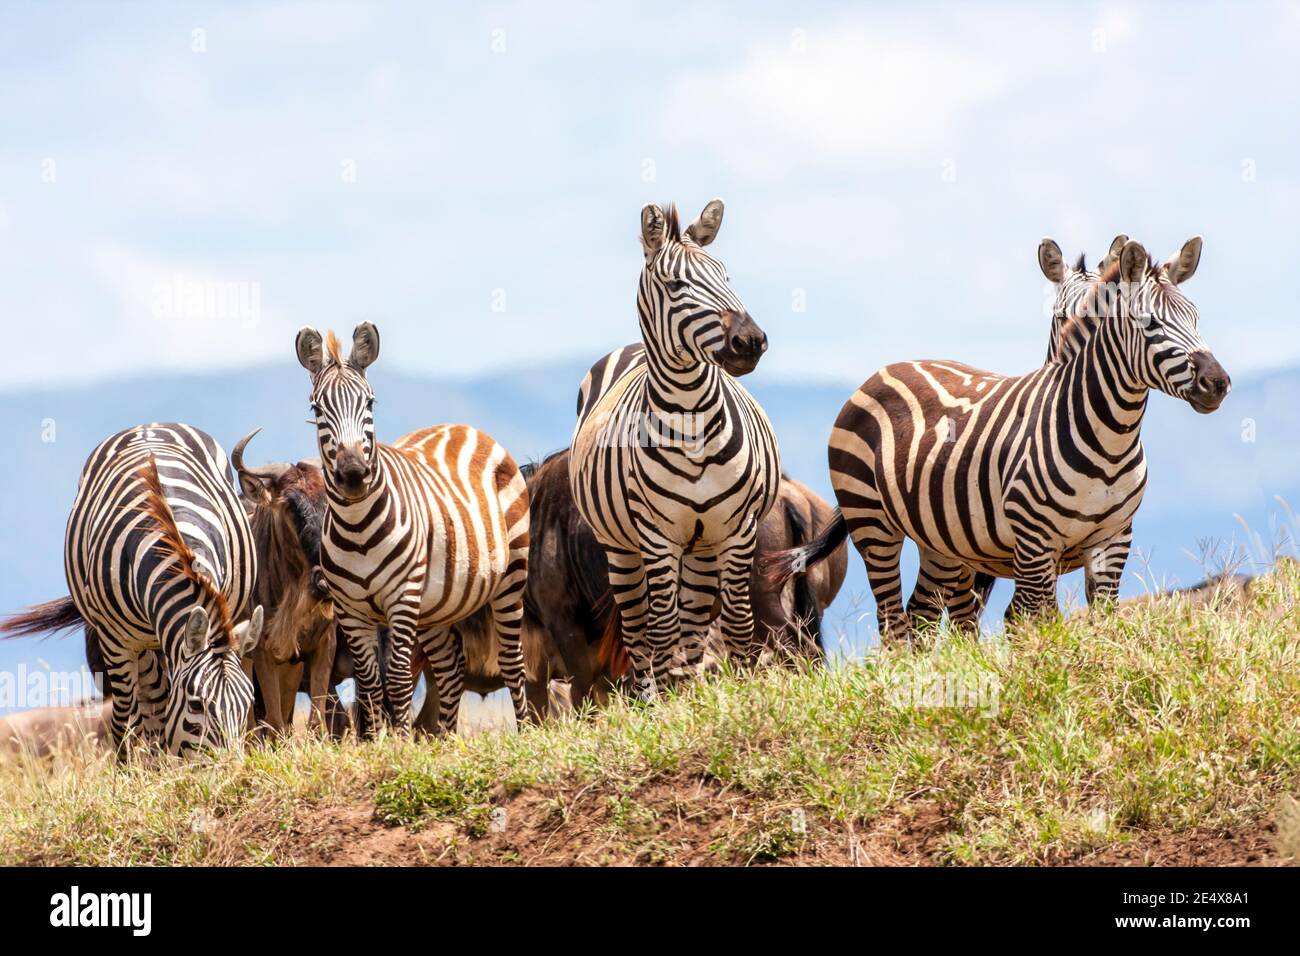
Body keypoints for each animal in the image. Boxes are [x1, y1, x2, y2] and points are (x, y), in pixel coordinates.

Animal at [0, 423, 263, 755]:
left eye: (247, 701)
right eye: (196, 704)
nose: (230, 765)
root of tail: (149, 425)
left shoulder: (220, 609)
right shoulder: (115, 640)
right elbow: (125, 719)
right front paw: (131, 767)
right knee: (152, 701)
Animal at [295, 322, 531, 733]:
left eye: (370, 403)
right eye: (317, 409)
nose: (353, 474)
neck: (357, 529)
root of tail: (462, 426)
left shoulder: (401, 597)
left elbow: (398, 680)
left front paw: (401, 739)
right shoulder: (349, 609)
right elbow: (370, 683)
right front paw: (377, 740)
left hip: (511, 573)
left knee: (512, 661)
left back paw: (527, 731)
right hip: (436, 604)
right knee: (451, 668)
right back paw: (446, 739)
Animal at [569, 199, 781, 696]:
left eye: (726, 275)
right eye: (676, 285)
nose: (751, 342)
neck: (692, 419)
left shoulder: (738, 530)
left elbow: (737, 622)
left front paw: (740, 696)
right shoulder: (656, 536)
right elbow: (660, 628)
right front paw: (668, 702)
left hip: (701, 547)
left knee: (693, 624)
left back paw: (688, 686)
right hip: (622, 550)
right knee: (640, 630)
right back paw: (655, 694)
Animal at [766, 237, 1229, 639]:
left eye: (1196, 319)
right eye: (1149, 324)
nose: (1218, 382)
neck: (1110, 439)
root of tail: (886, 369)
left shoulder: (1113, 540)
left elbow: (1101, 625)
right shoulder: (1035, 546)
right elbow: (1036, 623)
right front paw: (1044, 678)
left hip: (941, 543)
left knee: (921, 616)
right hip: (872, 522)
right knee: (894, 623)